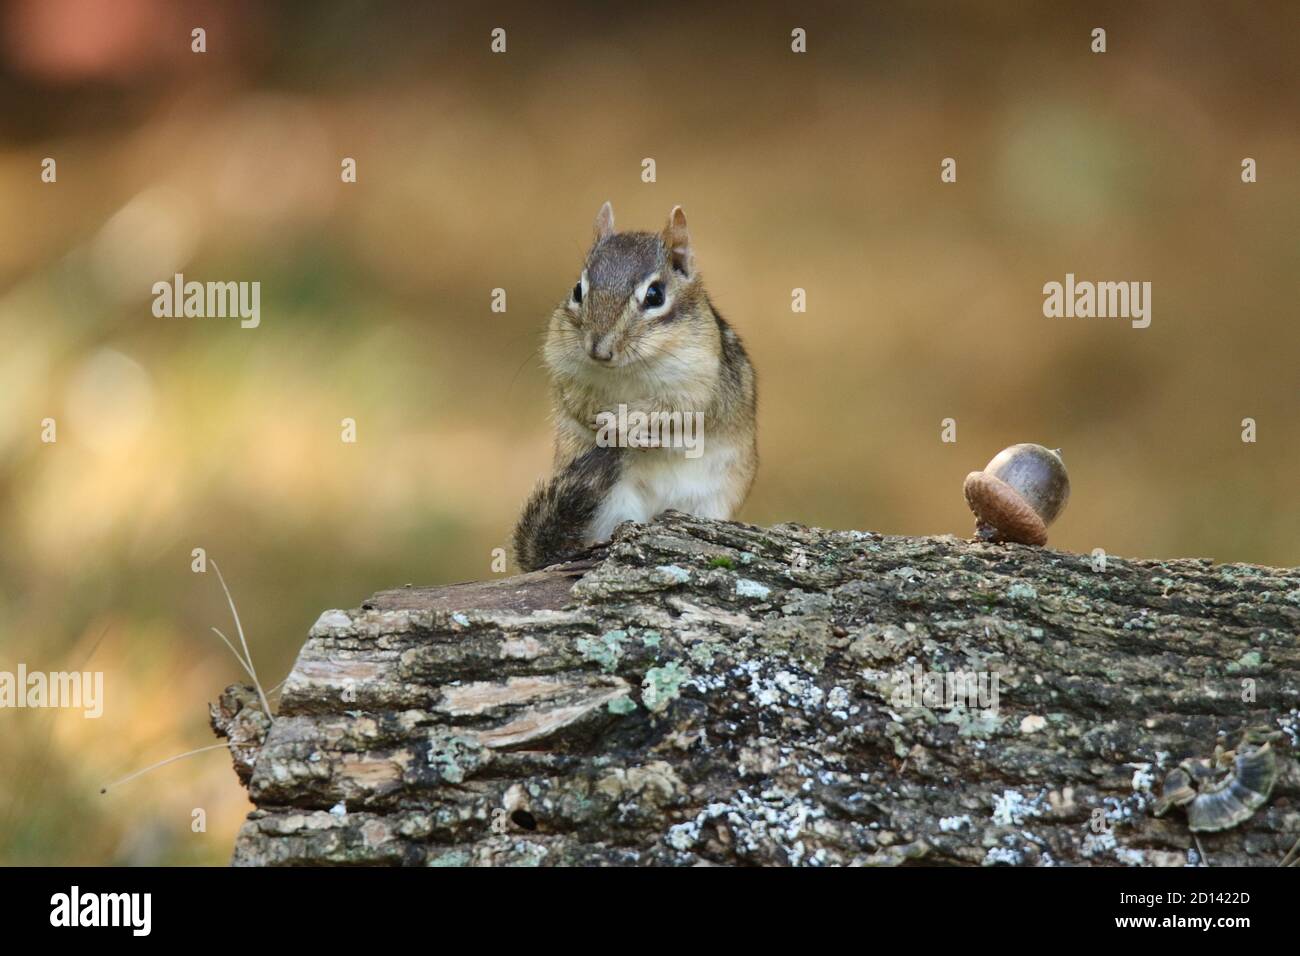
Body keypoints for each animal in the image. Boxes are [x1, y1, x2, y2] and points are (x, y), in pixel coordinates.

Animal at [513, 202, 758, 571]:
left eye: (655, 295)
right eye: (577, 290)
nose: (599, 350)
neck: (627, 374)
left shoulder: (700, 386)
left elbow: (676, 414)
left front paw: (624, 426)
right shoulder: (565, 373)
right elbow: (578, 407)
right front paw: (608, 427)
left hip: (715, 499)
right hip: (613, 504)